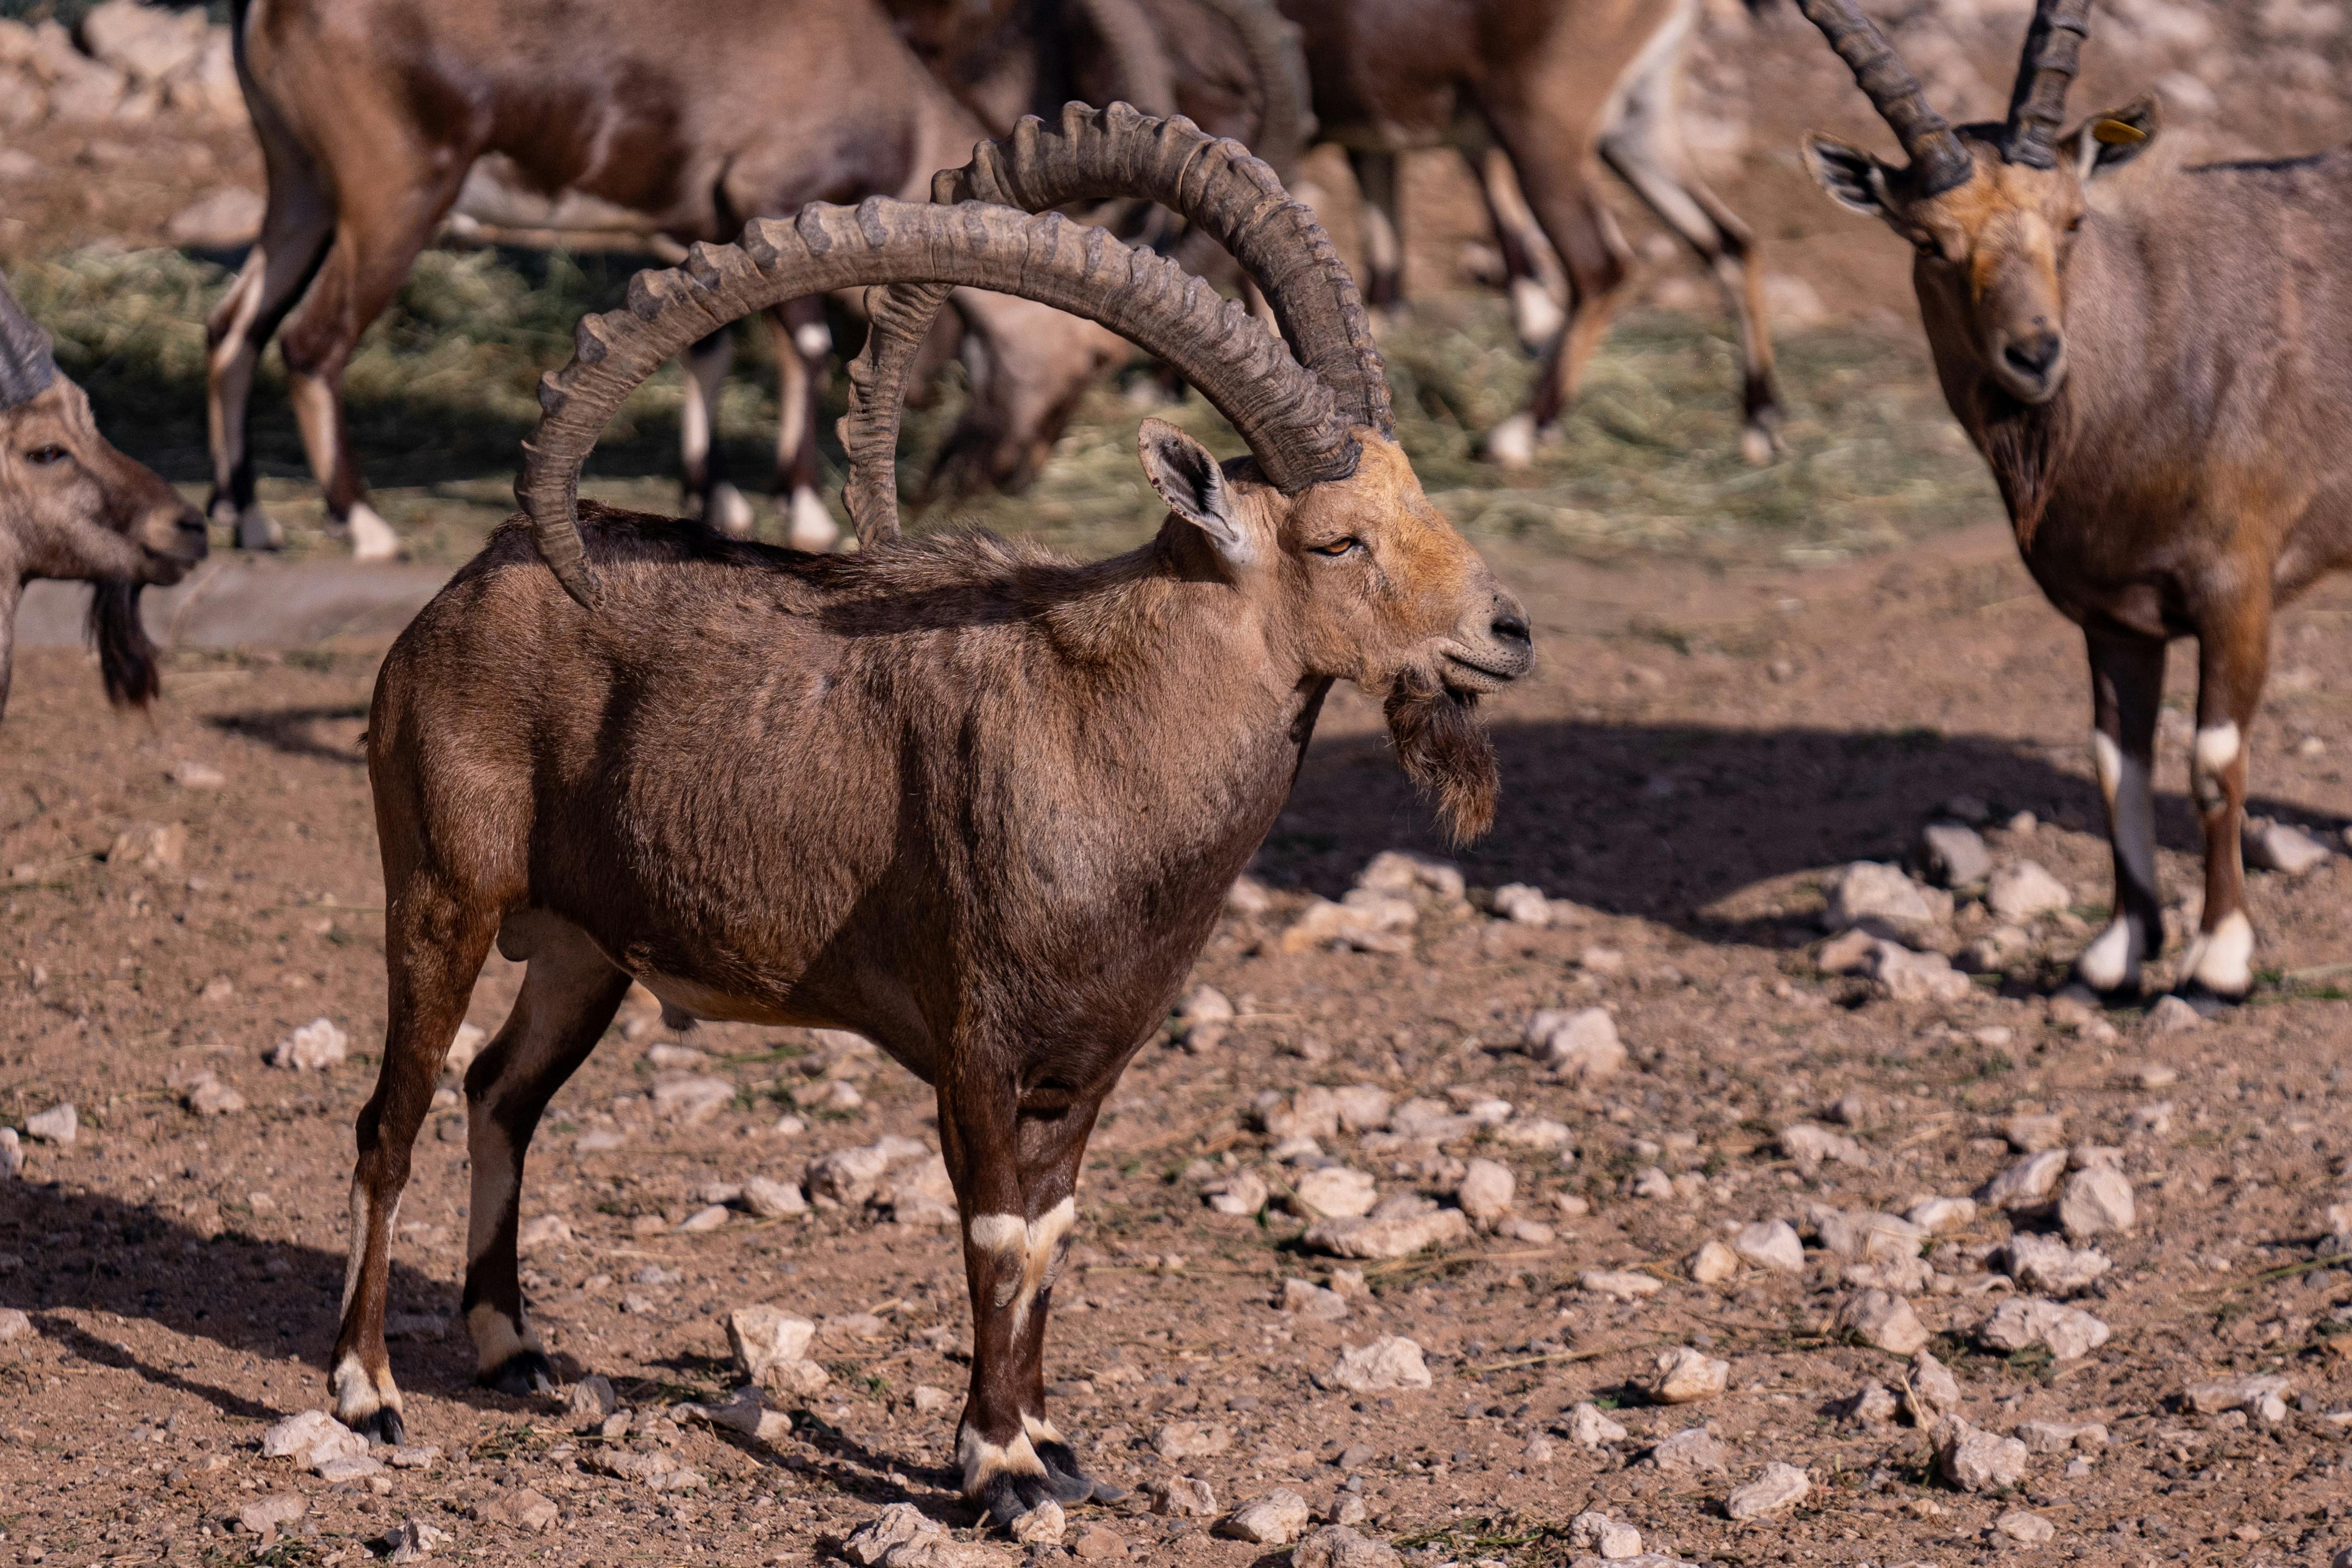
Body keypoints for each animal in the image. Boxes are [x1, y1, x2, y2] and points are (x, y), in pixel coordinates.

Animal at [206, 0, 1124, 561]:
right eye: (1095, 360)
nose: (1014, 472)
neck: (883, 83)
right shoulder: (772, 193)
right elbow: (806, 347)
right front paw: (804, 508)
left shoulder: (707, 227)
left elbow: (707, 351)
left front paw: (715, 497)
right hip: (395, 192)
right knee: (311, 341)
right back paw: (363, 523)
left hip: (299, 184)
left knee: (233, 329)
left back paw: (244, 513)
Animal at [330, 106, 1531, 1526]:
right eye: (1339, 540)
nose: (1507, 630)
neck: (1102, 726)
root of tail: (468, 585)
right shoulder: (976, 1044)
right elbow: (995, 1233)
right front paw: (996, 1466)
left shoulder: (1089, 1059)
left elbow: (1049, 1235)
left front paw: (1053, 1445)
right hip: (442, 897)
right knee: (391, 1116)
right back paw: (366, 1389)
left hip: (581, 952)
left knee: (500, 1092)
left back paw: (513, 1346)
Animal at [1281, 0, 1785, 466]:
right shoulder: (1368, 142)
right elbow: (1382, 274)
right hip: (1633, 133)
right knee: (1729, 243)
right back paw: (1760, 423)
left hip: (1540, 136)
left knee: (1600, 267)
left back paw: (1520, 431)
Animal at [1797, 0, 2352, 1007]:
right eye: (1927, 240)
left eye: (2072, 219)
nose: (2033, 354)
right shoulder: (2111, 614)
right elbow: (2114, 764)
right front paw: (2115, 953)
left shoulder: (2238, 587)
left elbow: (2212, 759)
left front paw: (2218, 961)